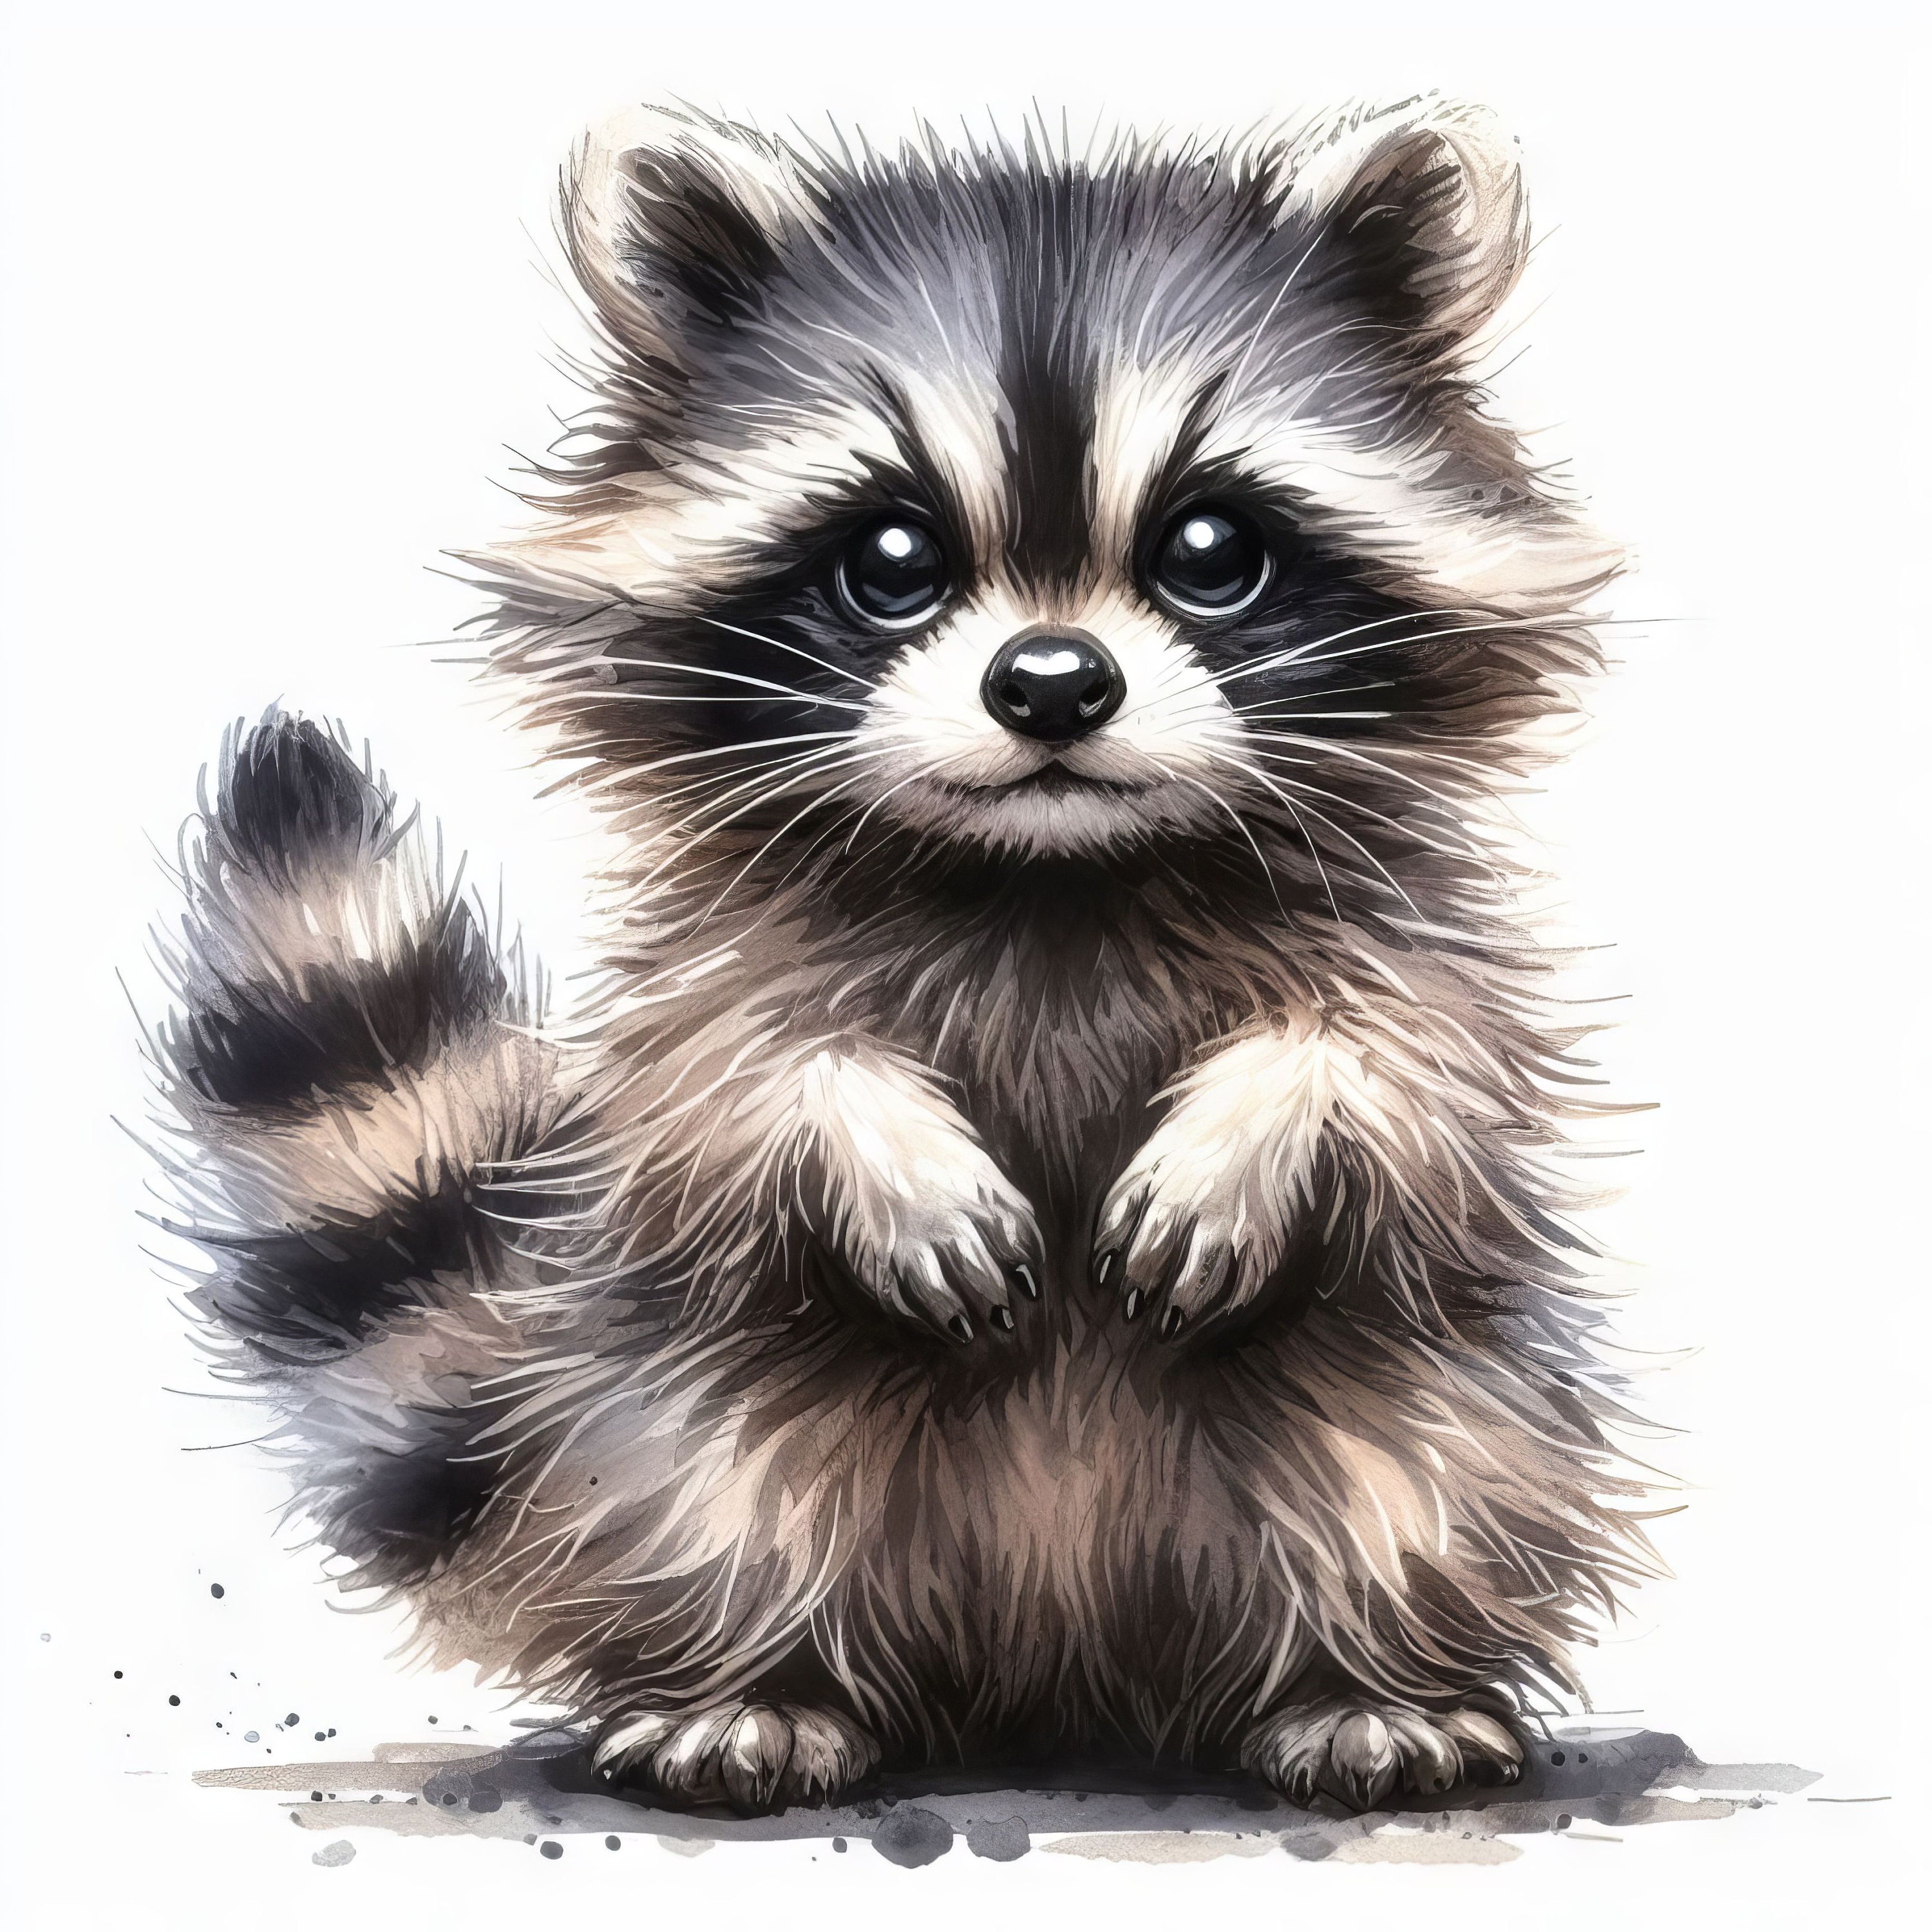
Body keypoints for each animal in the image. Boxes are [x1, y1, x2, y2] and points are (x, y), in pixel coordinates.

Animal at [151, 98, 1657, 1814]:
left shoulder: (1428, 936)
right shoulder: (709, 962)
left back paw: (1363, 1680)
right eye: (890, 556)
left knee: (1417, 1462)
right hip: (657, 1415)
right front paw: (865, 1132)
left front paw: (1269, 1105)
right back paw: (752, 1681)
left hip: (1448, 1410)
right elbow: (737, 1082)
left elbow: (1407, 1059)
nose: (1053, 683)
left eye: (1212, 546)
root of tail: (1057, 1683)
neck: (1051, 877)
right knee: (722, 1470)